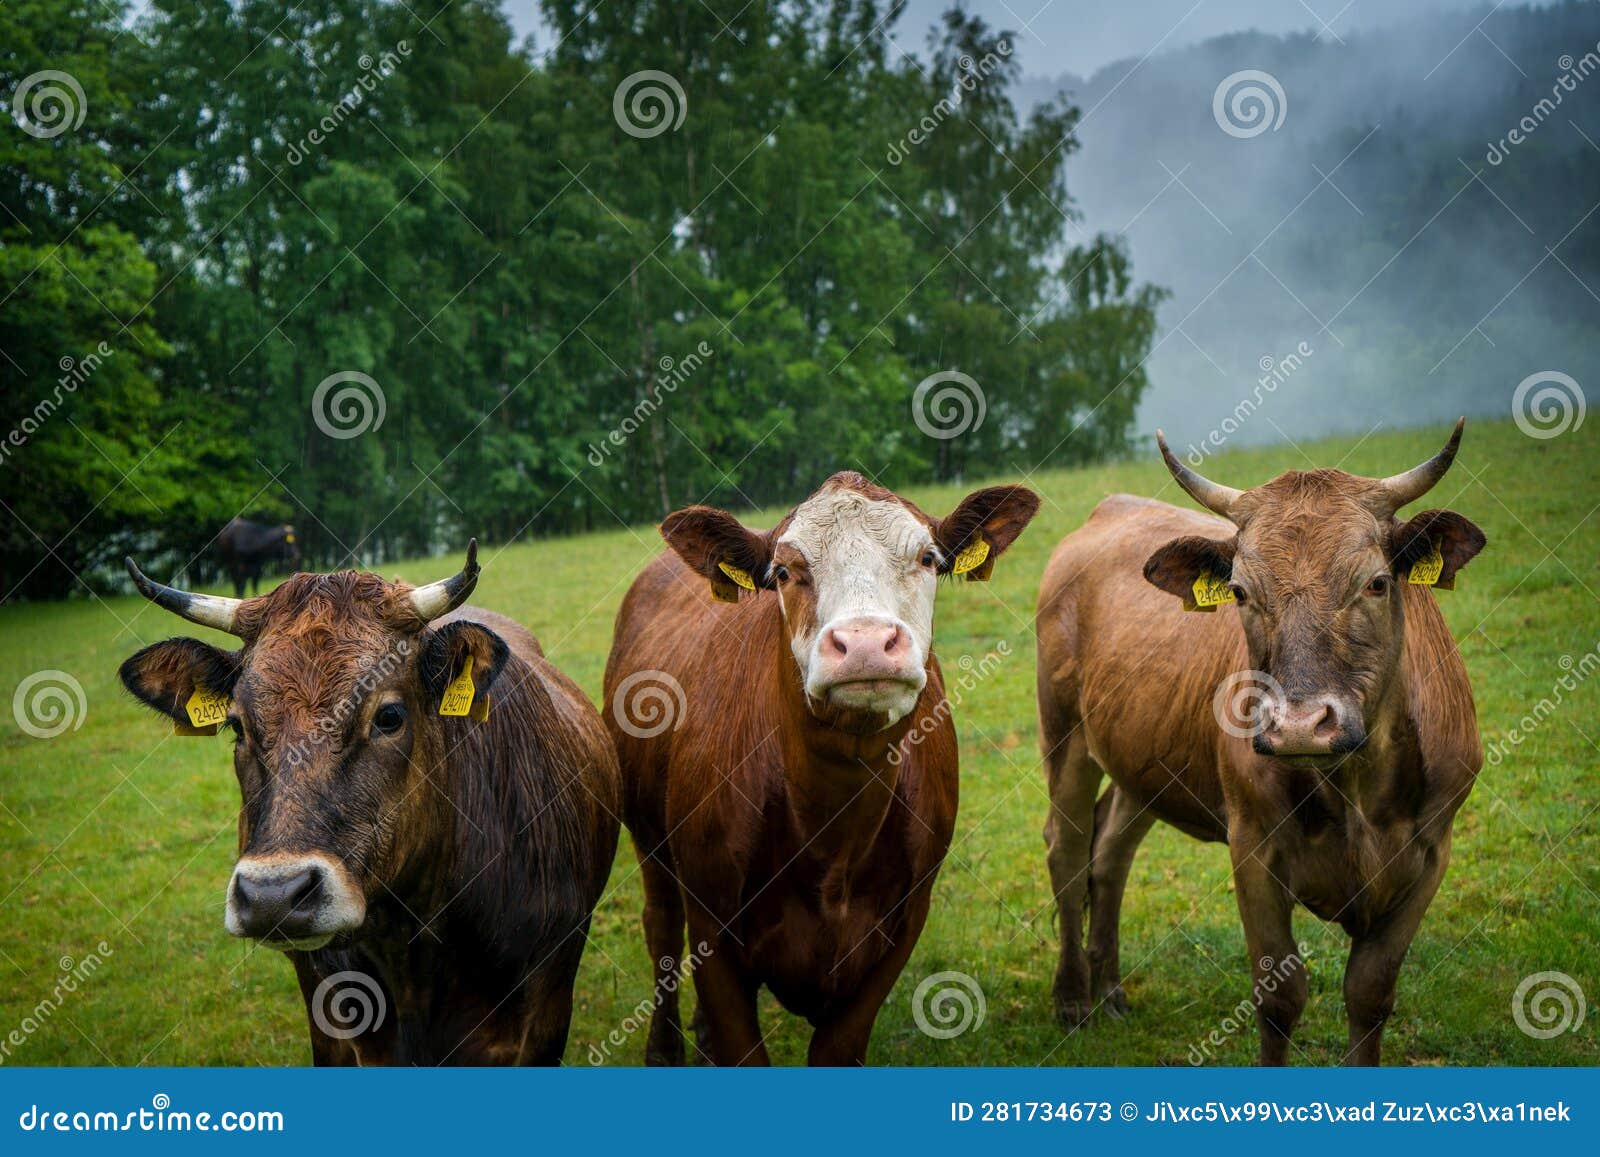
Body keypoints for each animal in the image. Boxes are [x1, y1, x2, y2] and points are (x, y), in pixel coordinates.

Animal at [604, 471, 1040, 1065]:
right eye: (785, 572)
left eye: (928, 558)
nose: (865, 645)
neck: (833, 840)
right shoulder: (712, 919)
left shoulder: (902, 927)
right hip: (650, 840)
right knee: (663, 930)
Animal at [1036, 422, 1484, 1065]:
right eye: (1242, 592)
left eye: (1375, 583)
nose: (1298, 724)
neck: (1356, 791)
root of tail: (1110, 509)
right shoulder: (1252, 848)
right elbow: (1279, 997)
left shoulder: (1431, 853)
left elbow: (1370, 992)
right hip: (1064, 734)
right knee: (1068, 851)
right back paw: (1073, 999)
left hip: (1144, 761)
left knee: (1111, 851)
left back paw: (1111, 992)